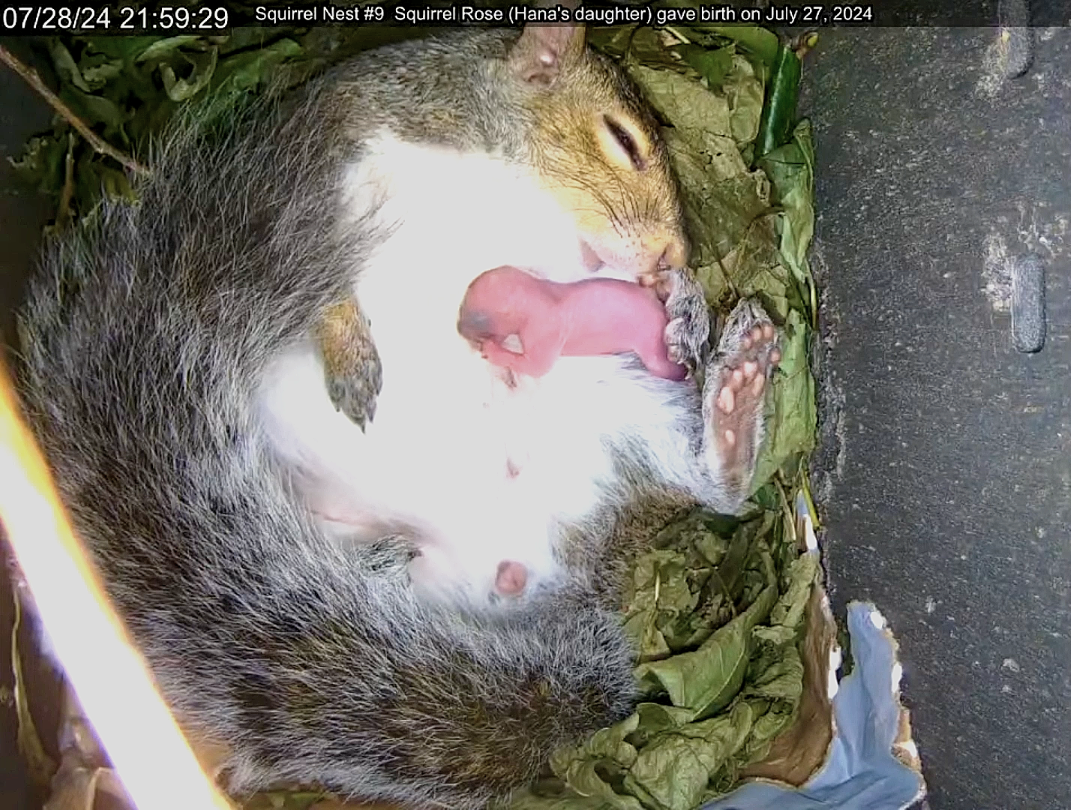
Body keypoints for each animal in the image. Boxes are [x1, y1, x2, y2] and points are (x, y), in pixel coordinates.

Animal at [15, 21, 781, 810]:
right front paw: (350, 354)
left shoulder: (556, 280)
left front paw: (682, 307)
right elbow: (331, 296)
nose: (673, 255)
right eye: (623, 139)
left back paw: (735, 396)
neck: (500, 178)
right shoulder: (334, 154)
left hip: (613, 407)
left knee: (707, 485)